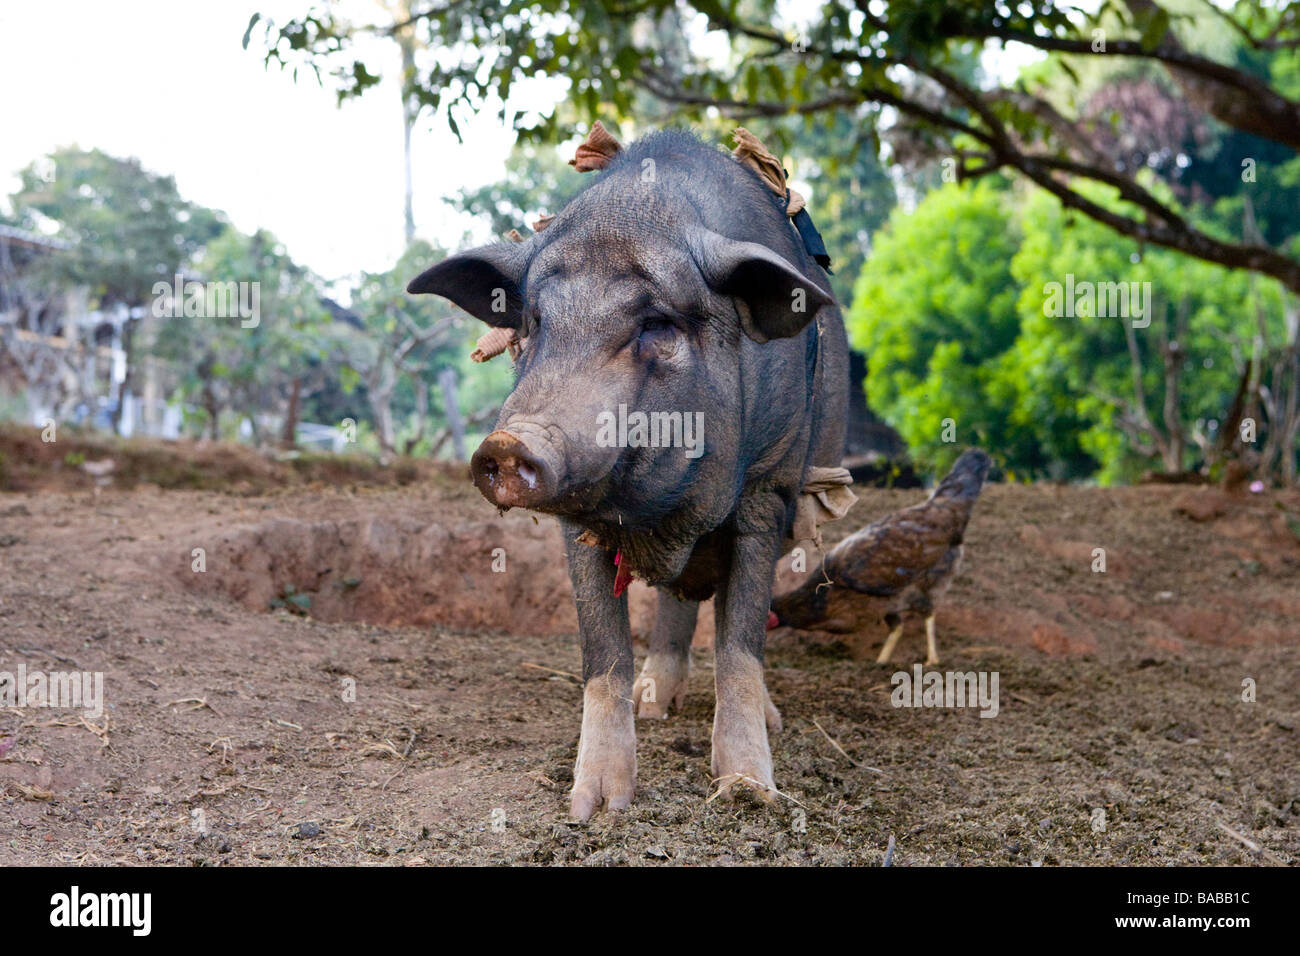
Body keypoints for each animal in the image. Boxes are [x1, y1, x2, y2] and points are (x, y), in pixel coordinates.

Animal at [408, 130, 848, 821]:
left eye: (657, 324)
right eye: (535, 323)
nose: (507, 444)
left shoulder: (768, 489)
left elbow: (740, 644)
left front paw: (748, 791)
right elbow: (603, 652)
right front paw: (594, 809)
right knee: (674, 601)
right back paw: (654, 704)